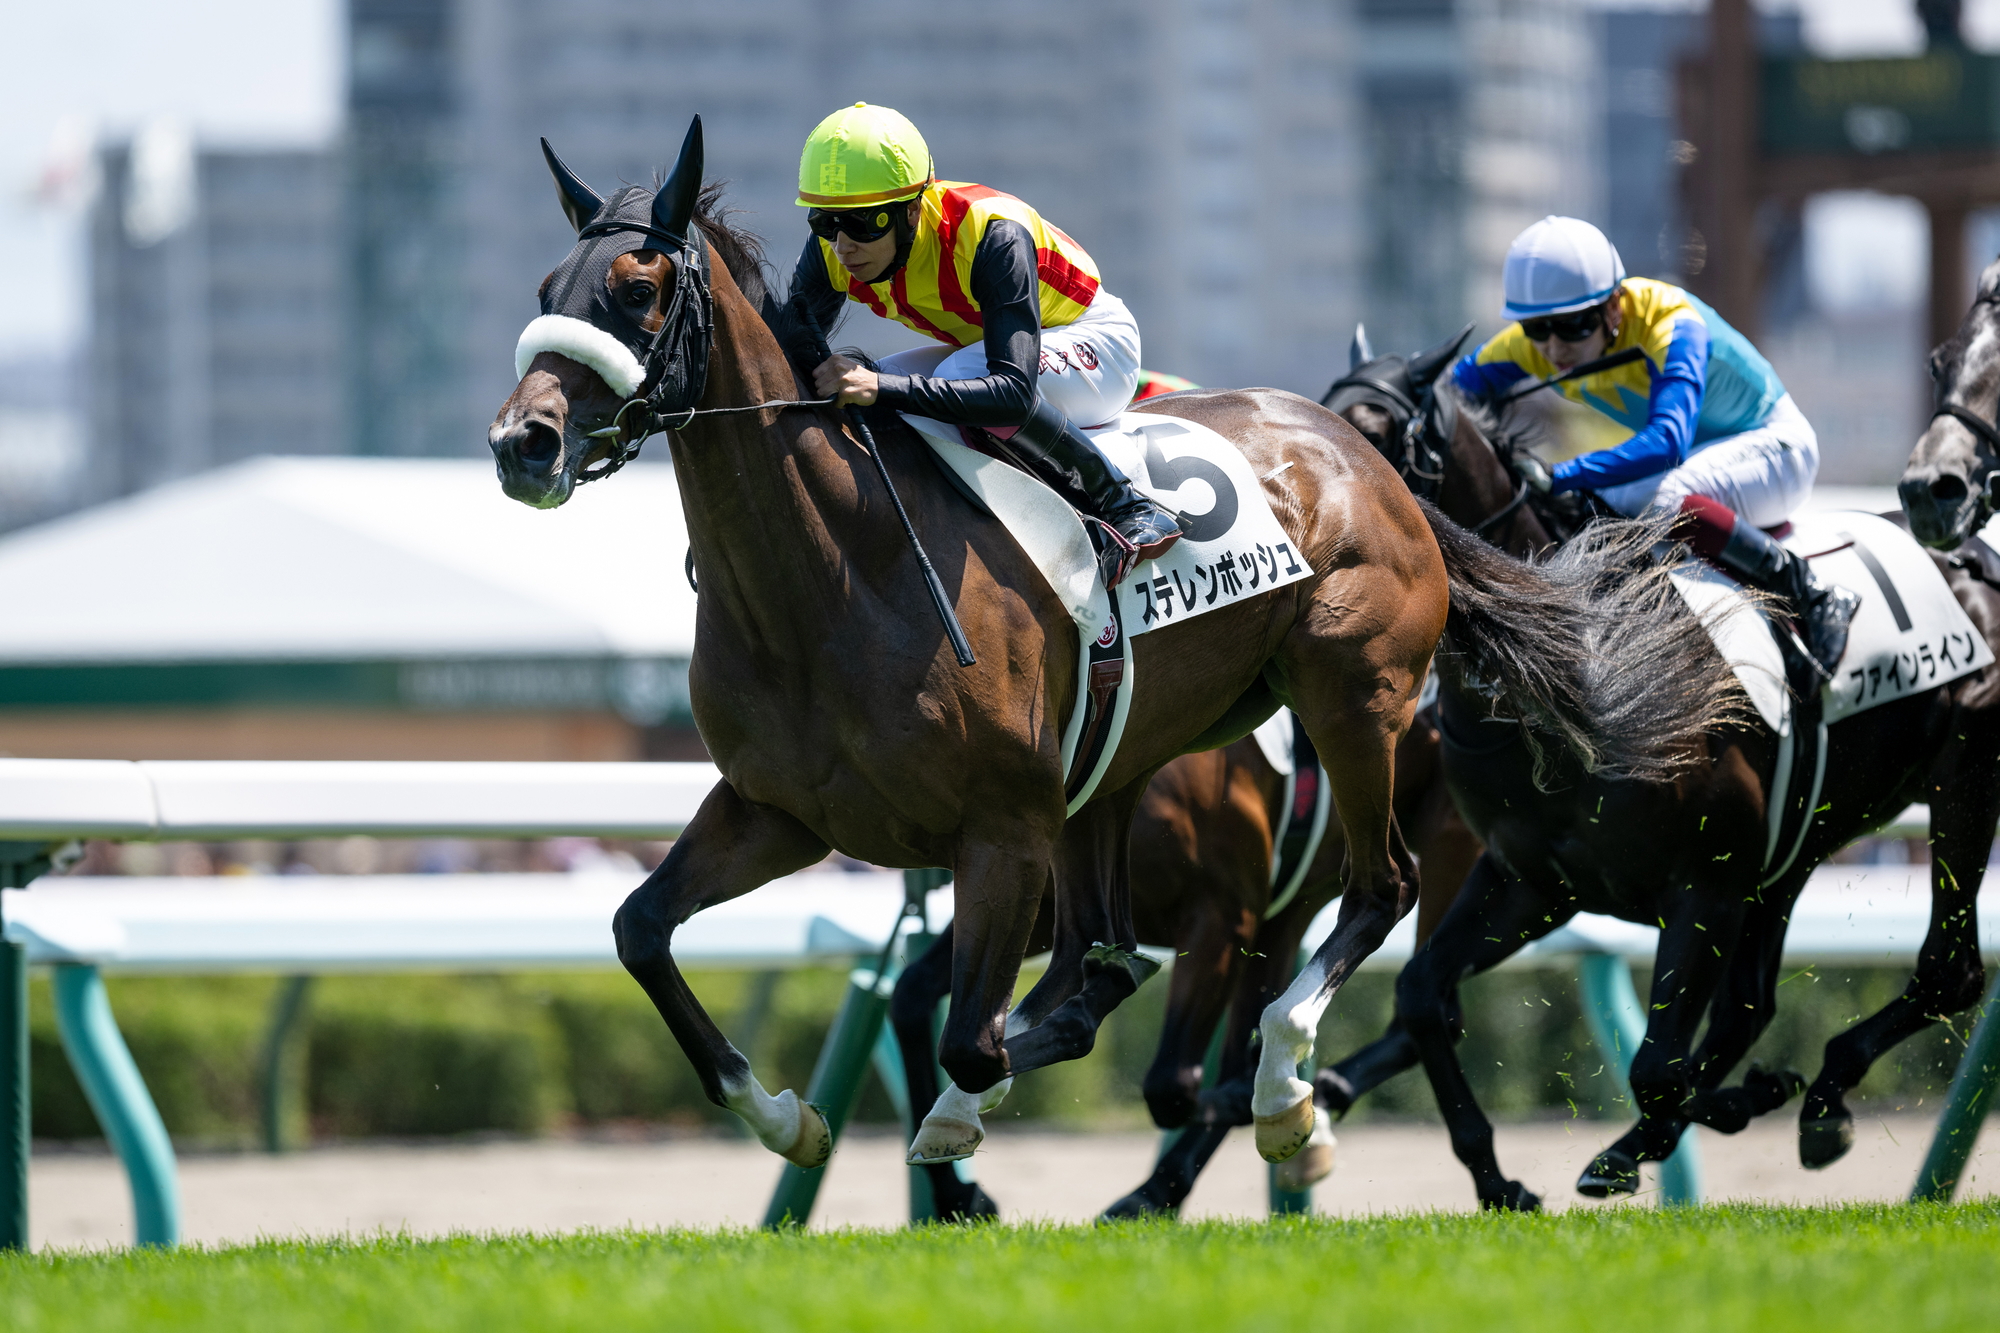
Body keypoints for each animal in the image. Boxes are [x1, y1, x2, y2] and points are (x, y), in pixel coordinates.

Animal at [484, 118, 1610, 1171]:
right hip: (1119, 762)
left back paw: (1287, 1092)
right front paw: (786, 1116)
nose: (521, 443)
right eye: (547, 286)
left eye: (639, 287)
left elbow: (978, 1040)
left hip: (1351, 699)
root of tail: (1362, 457)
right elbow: (641, 929)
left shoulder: (1005, 829)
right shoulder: (781, 811)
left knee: (1380, 890)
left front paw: (952, 1116)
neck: (837, 574)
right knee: (1094, 959)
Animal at [1305, 332, 2000, 1209]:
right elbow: (1425, 996)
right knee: (1752, 1006)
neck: (1572, 659)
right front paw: (1500, 1180)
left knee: (1949, 970)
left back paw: (1821, 1095)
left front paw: (1707, 1114)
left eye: (1371, 431)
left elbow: (1658, 1068)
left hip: (1961, 781)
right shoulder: (1534, 878)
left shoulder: (1704, 885)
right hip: (1793, 853)